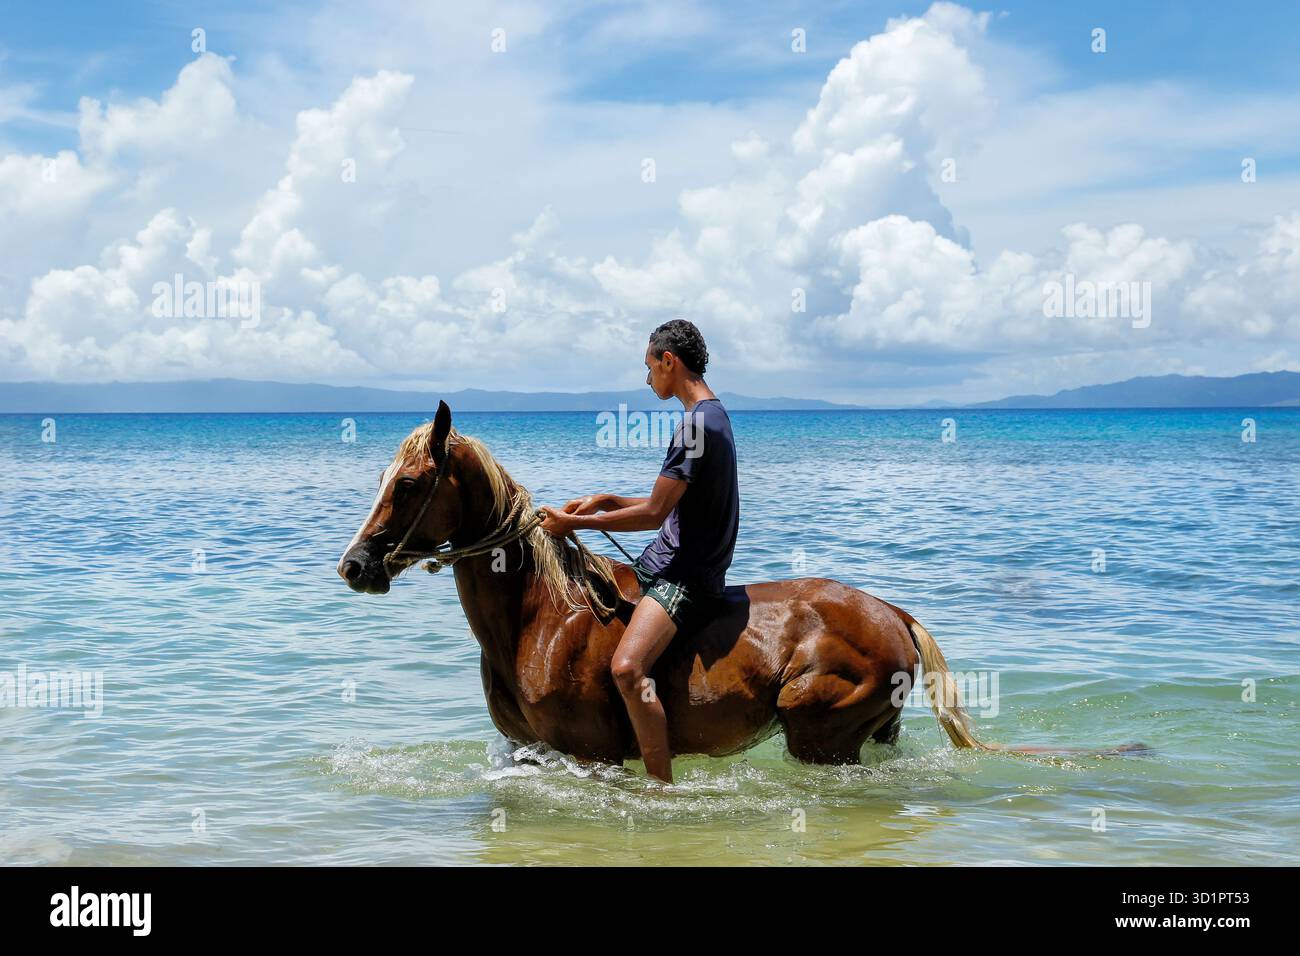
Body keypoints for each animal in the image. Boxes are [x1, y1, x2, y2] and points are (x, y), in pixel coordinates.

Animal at [337, 402, 1142, 767]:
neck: (541, 619)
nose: (354, 566)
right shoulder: (530, 752)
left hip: (818, 728)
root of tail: (892, 611)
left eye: (408, 484)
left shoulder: (592, 756)